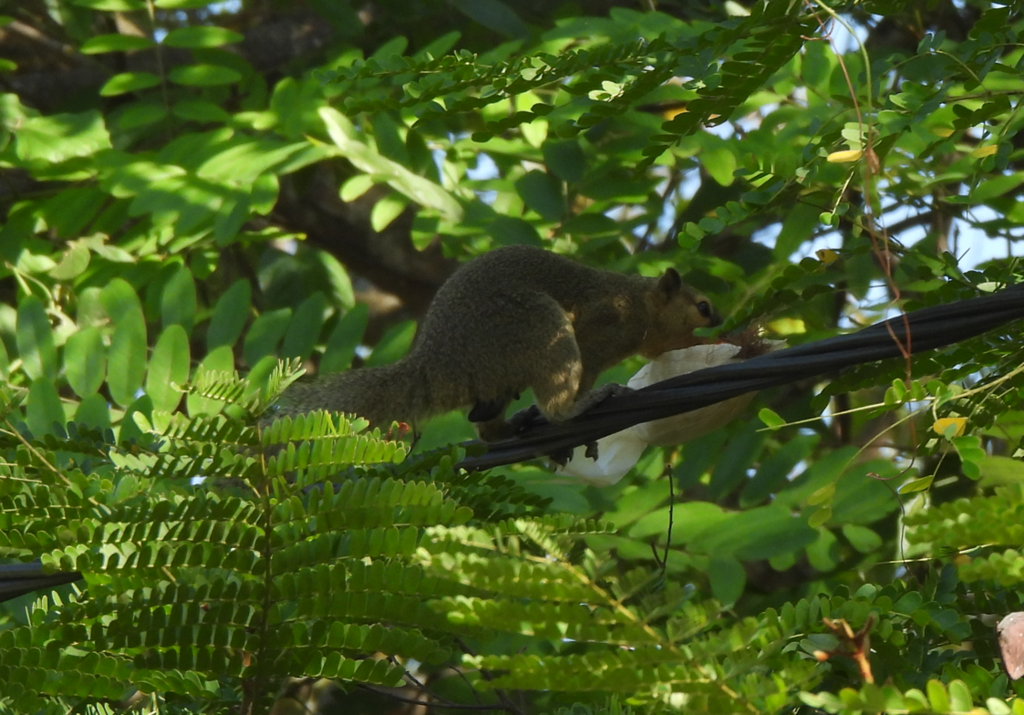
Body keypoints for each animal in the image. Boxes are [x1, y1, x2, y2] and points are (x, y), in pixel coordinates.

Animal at [275, 245, 720, 441]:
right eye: (702, 306)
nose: (719, 321)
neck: (638, 302)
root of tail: (439, 363)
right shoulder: (603, 327)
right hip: (536, 327)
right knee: (554, 403)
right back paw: (574, 407)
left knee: (486, 429)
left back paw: (511, 424)